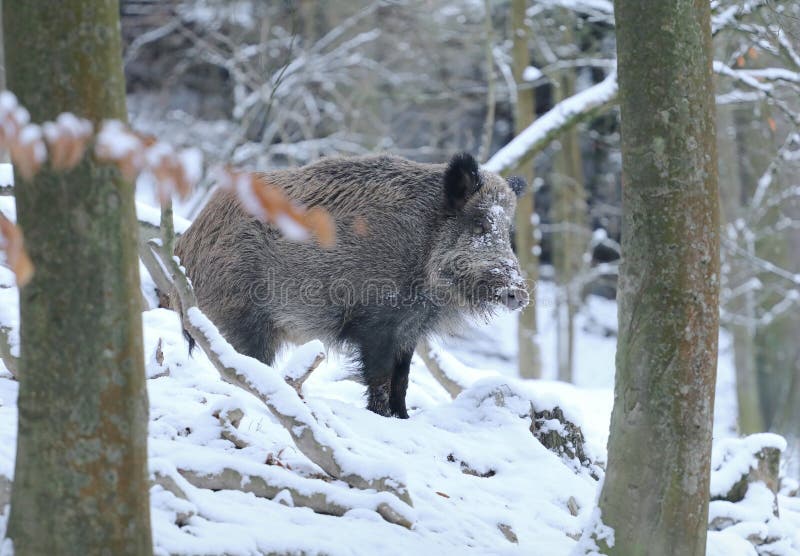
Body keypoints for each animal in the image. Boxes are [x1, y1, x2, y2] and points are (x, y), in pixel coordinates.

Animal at [175, 152, 528, 418]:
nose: (520, 293)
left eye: (506, 231)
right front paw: (382, 417)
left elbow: (403, 380)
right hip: (241, 316)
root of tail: (189, 241)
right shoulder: (375, 324)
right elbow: (380, 378)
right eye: (479, 225)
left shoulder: (408, 331)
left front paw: (404, 419)